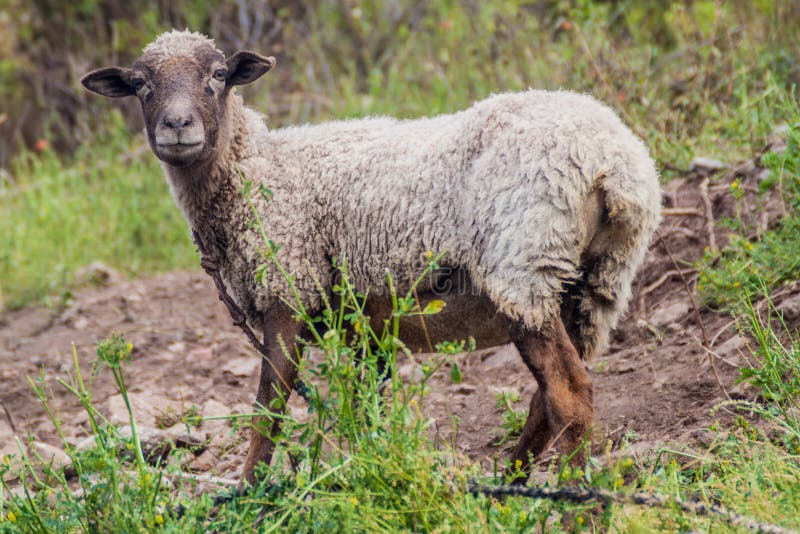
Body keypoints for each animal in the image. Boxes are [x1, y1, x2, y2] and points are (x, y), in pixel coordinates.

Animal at [81, 30, 661, 486]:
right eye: (140, 84)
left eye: (219, 75)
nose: (177, 126)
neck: (258, 171)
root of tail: (616, 163)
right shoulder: (364, 323)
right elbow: (363, 411)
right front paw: (369, 468)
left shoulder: (289, 286)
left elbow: (270, 404)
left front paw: (248, 489)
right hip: (594, 283)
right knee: (548, 399)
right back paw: (510, 486)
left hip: (524, 263)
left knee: (569, 395)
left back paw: (569, 501)